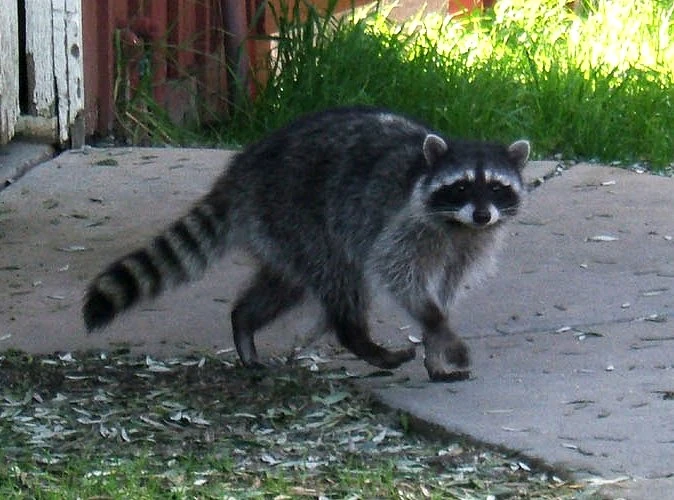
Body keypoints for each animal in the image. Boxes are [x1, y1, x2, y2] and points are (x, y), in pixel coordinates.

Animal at [83, 106, 529, 381]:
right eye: (461, 187)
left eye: (496, 187)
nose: (483, 215)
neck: (459, 225)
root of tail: (244, 169)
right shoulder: (405, 223)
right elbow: (396, 271)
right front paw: (437, 325)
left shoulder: (468, 246)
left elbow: (446, 285)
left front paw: (436, 341)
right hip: (299, 211)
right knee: (341, 275)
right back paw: (358, 337)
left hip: (281, 231)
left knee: (286, 284)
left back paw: (244, 321)